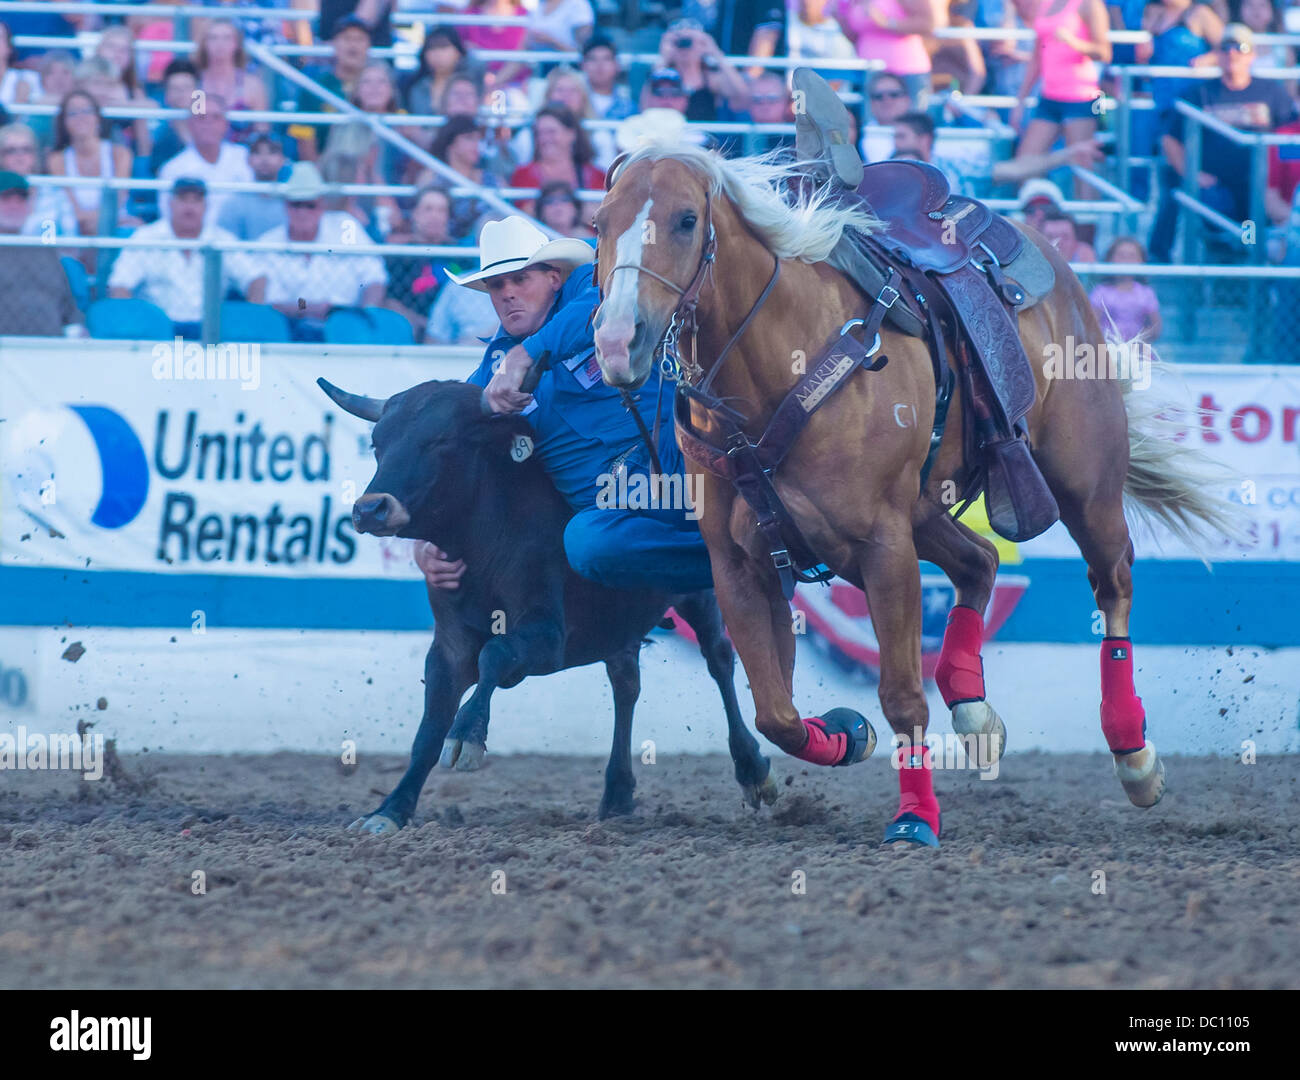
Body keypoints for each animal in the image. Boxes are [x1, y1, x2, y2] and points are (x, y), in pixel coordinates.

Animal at [317, 377, 779, 833]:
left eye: (441, 440)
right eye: (378, 442)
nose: (371, 508)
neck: (485, 544)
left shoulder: (548, 638)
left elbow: (495, 654)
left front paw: (467, 734)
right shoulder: (448, 645)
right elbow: (428, 731)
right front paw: (390, 810)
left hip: (699, 592)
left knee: (719, 659)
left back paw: (751, 769)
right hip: (618, 622)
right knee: (626, 683)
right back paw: (617, 792)